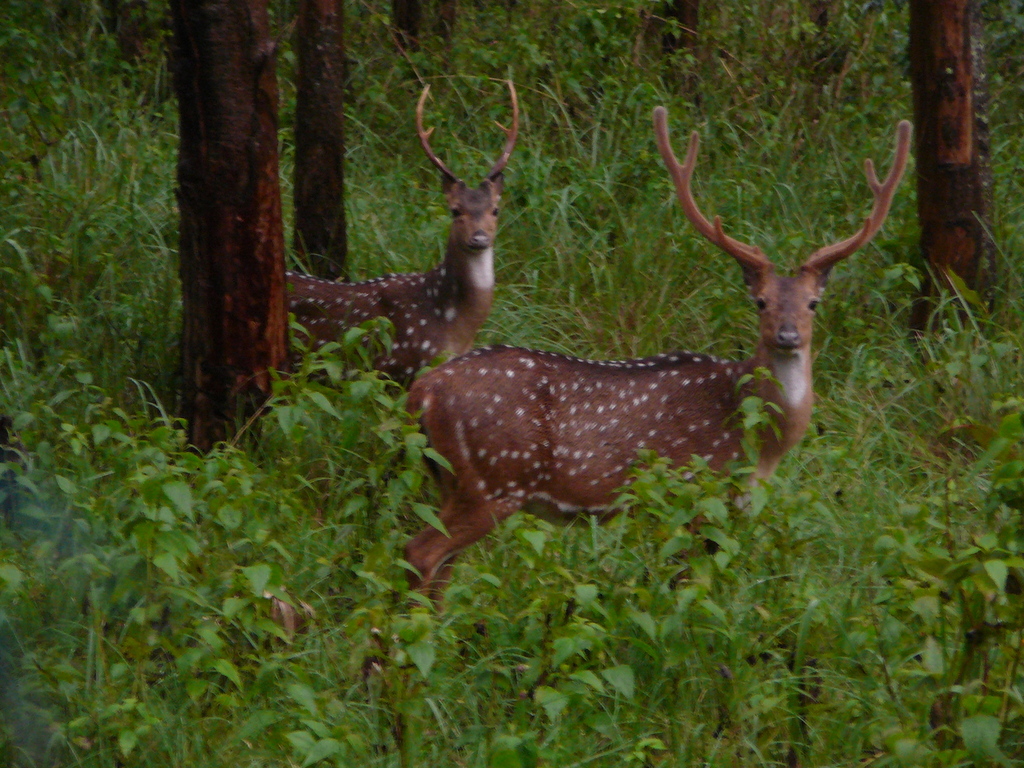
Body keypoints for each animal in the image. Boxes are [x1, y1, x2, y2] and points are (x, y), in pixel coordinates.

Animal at [402, 107, 912, 597]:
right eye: (760, 301)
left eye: (812, 303)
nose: (787, 336)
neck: (760, 444)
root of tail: (422, 392)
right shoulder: (695, 494)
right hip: (494, 478)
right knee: (421, 553)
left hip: (450, 479)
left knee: (441, 564)